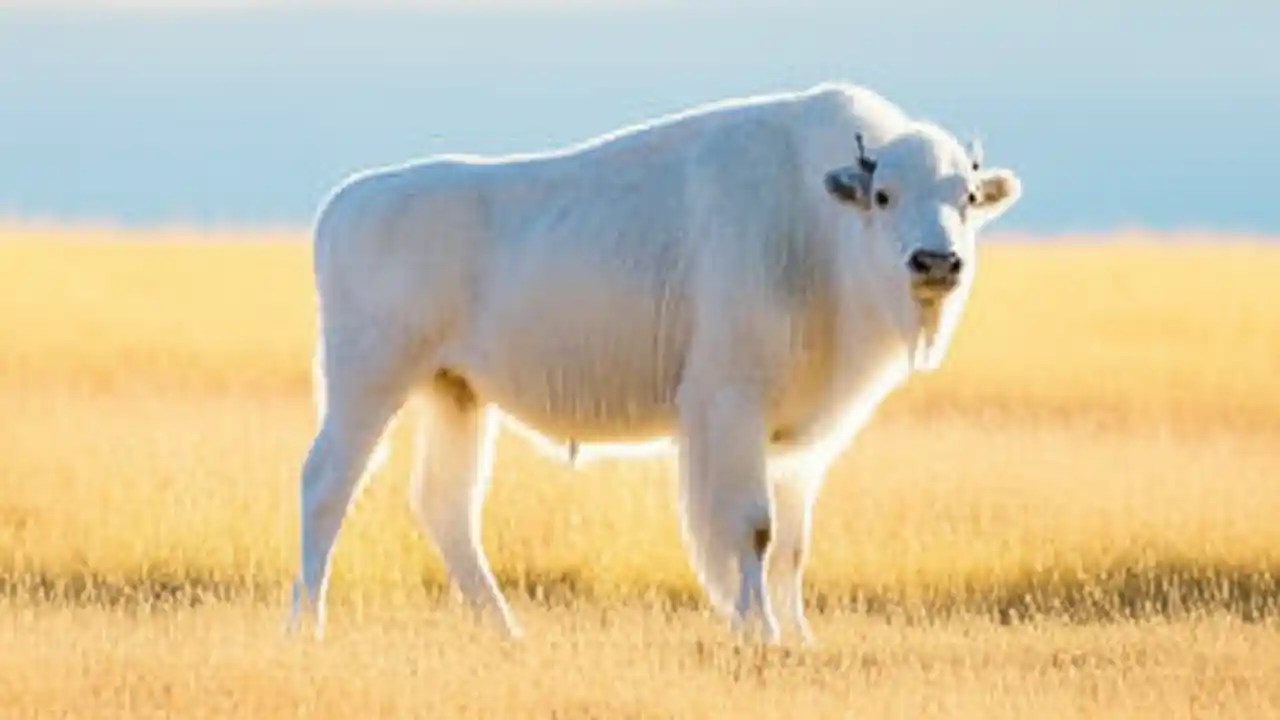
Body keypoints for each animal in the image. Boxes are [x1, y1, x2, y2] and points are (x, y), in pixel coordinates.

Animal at [288, 82, 1022, 643]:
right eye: (884, 194)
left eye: (965, 198)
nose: (936, 262)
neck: (817, 214)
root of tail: (342, 205)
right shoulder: (732, 409)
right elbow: (752, 529)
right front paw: (760, 632)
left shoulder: (798, 446)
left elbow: (792, 545)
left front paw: (800, 638)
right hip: (368, 384)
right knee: (327, 486)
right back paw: (307, 626)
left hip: (455, 394)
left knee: (447, 506)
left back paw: (506, 632)